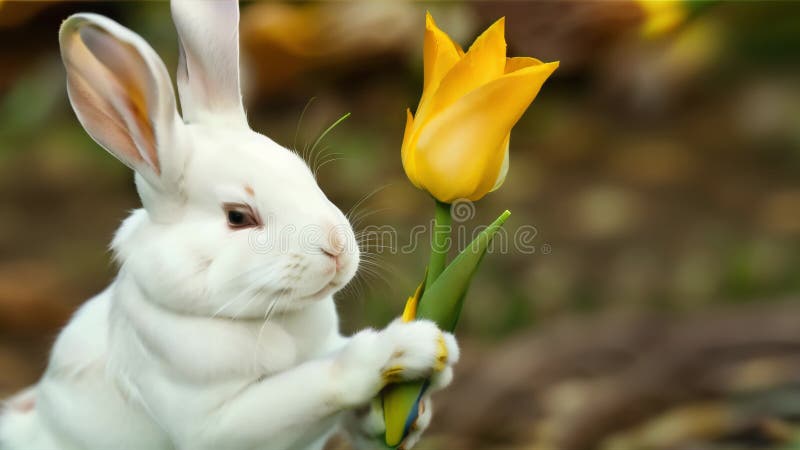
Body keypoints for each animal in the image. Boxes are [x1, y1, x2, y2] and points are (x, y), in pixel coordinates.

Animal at [0, 1, 459, 449]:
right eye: (238, 216)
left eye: (303, 172)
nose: (336, 248)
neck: (267, 319)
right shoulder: (215, 424)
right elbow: (316, 384)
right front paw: (409, 349)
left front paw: (414, 405)